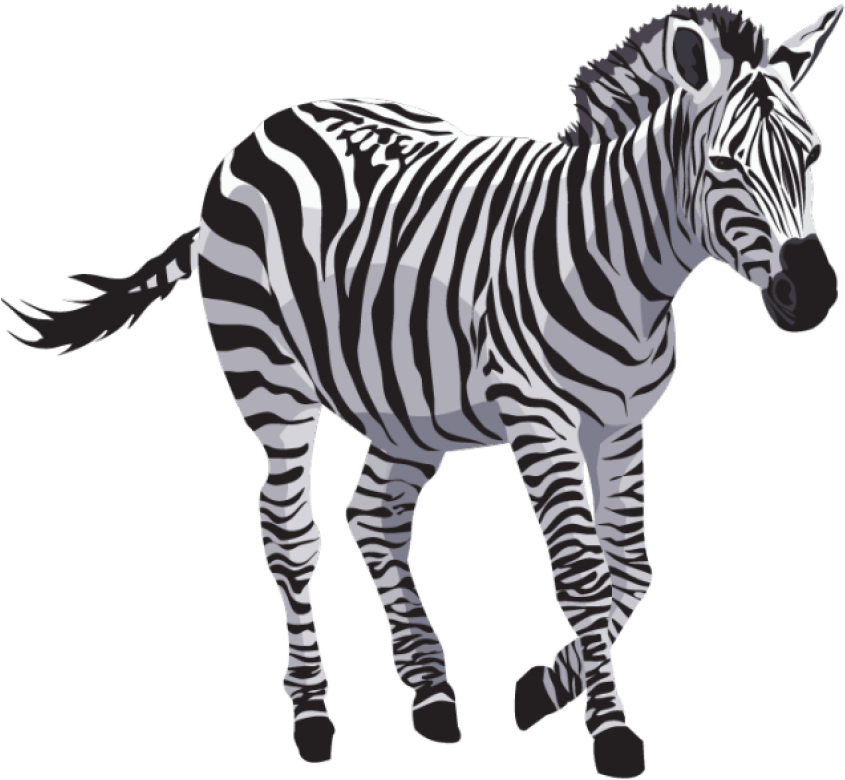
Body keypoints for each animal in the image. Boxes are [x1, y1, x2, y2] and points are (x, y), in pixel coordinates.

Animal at [3, 4, 840, 776]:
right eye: (725, 165)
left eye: (811, 156)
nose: (812, 295)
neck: (622, 265)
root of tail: (272, 121)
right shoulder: (542, 421)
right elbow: (583, 576)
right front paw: (608, 734)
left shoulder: (623, 422)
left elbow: (631, 568)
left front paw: (538, 691)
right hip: (269, 373)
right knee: (289, 532)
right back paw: (312, 714)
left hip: (407, 403)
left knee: (373, 518)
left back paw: (432, 694)